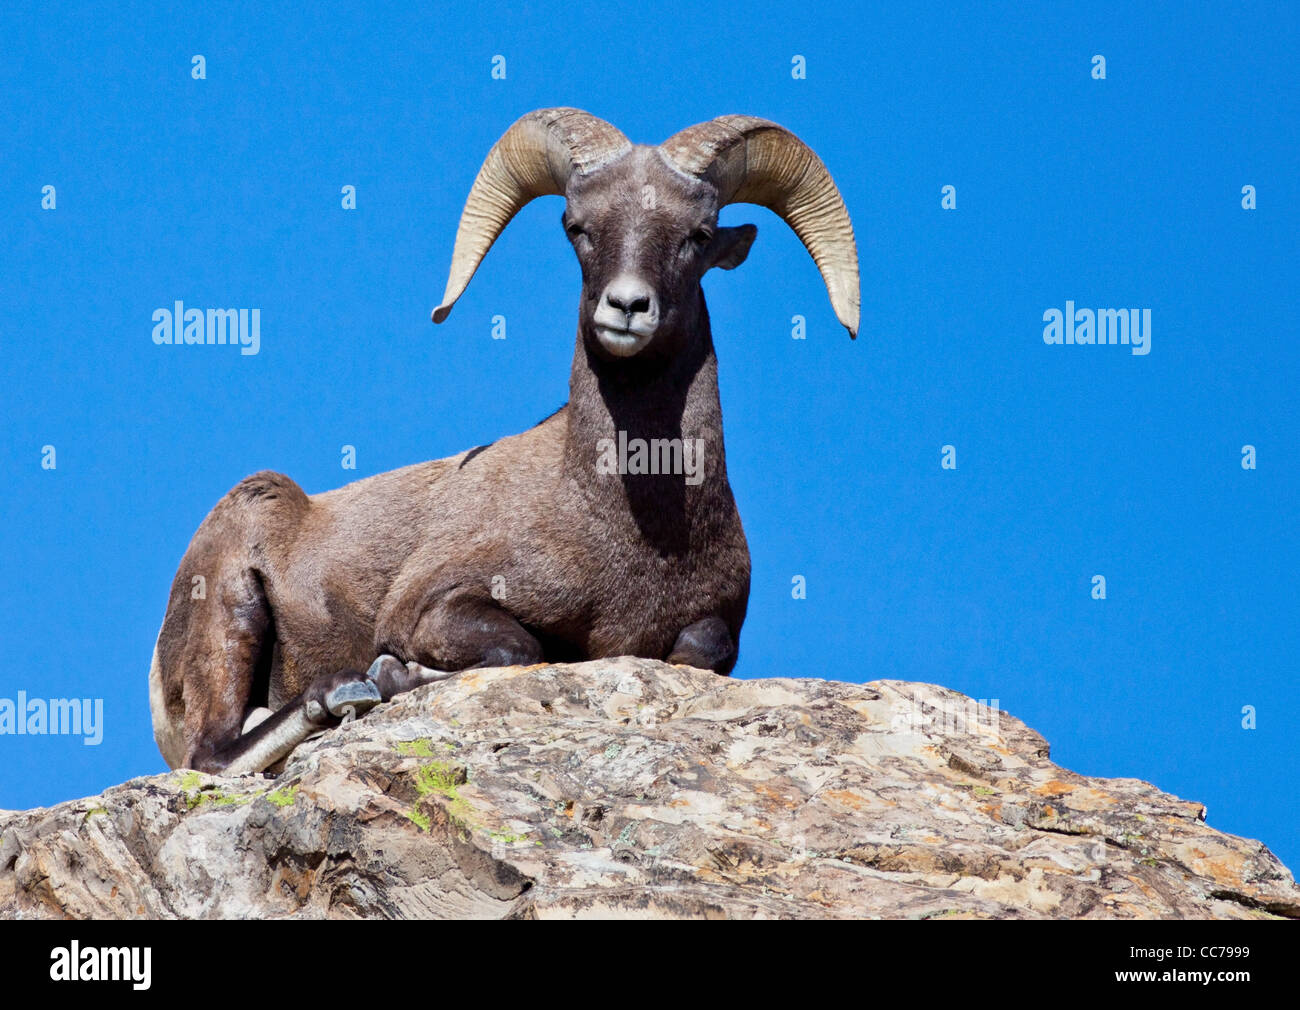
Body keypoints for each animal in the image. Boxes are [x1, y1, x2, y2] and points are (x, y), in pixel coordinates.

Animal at [149, 108, 860, 774]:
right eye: (577, 227)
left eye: (699, 235)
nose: (626, 307)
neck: (630, 527)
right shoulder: (431, 606)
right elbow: (522, 648)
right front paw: (398, 673)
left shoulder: (714, 627)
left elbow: (696, 651)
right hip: (234, 596)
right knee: (211, 755)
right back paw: (345, 692)